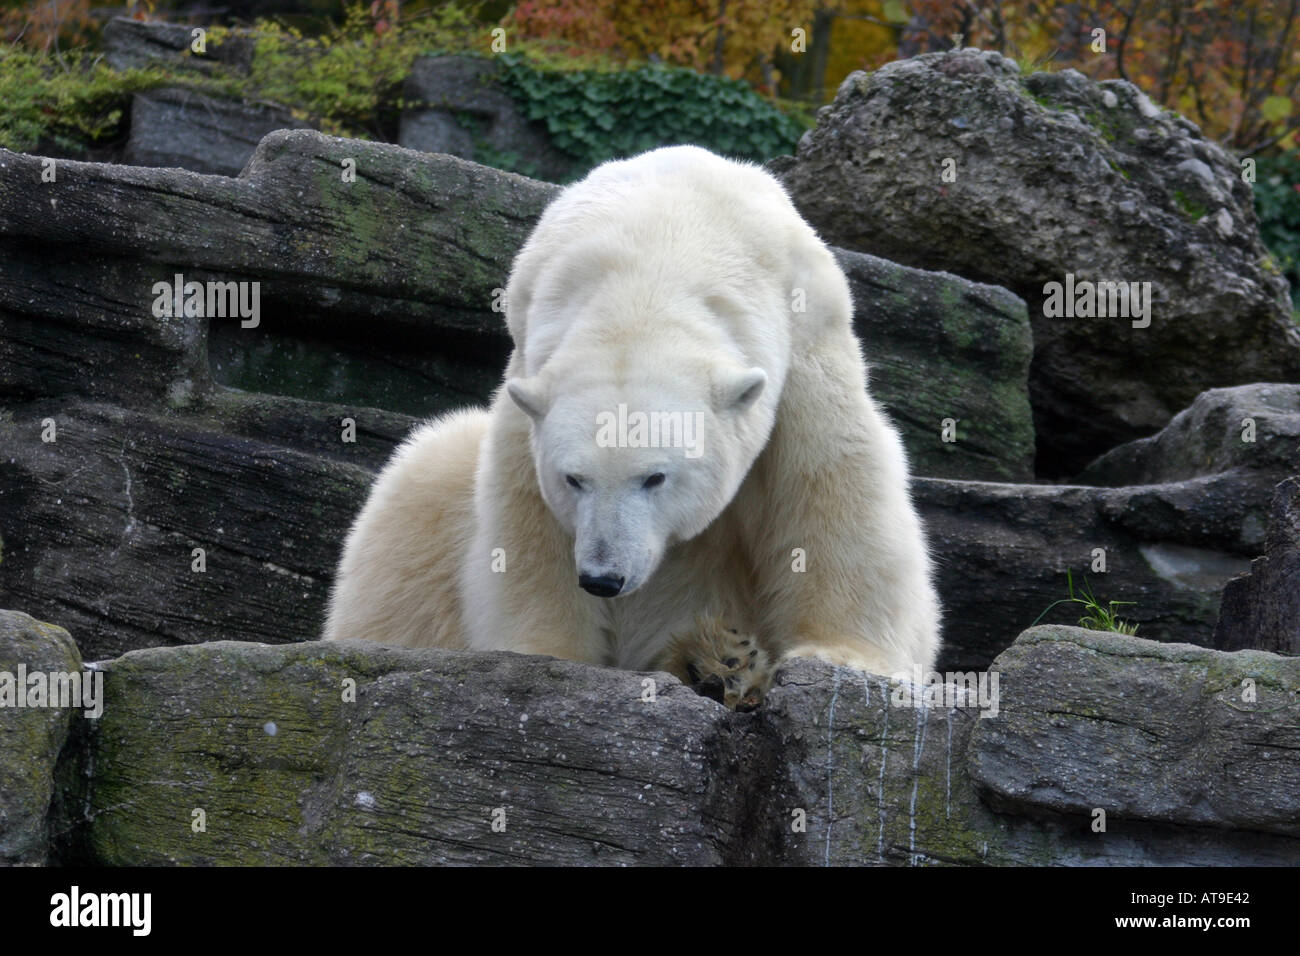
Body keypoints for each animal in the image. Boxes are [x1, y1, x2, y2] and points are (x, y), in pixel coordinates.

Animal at [323, 144, 942, 700]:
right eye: (574, 479)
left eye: (656, 477)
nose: (604, 578)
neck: (659, 254)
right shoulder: (530, 379)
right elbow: (526, 515)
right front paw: (544, 653)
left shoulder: (804, 344)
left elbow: (832, 476)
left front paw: (845, 655)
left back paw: (717, 662)